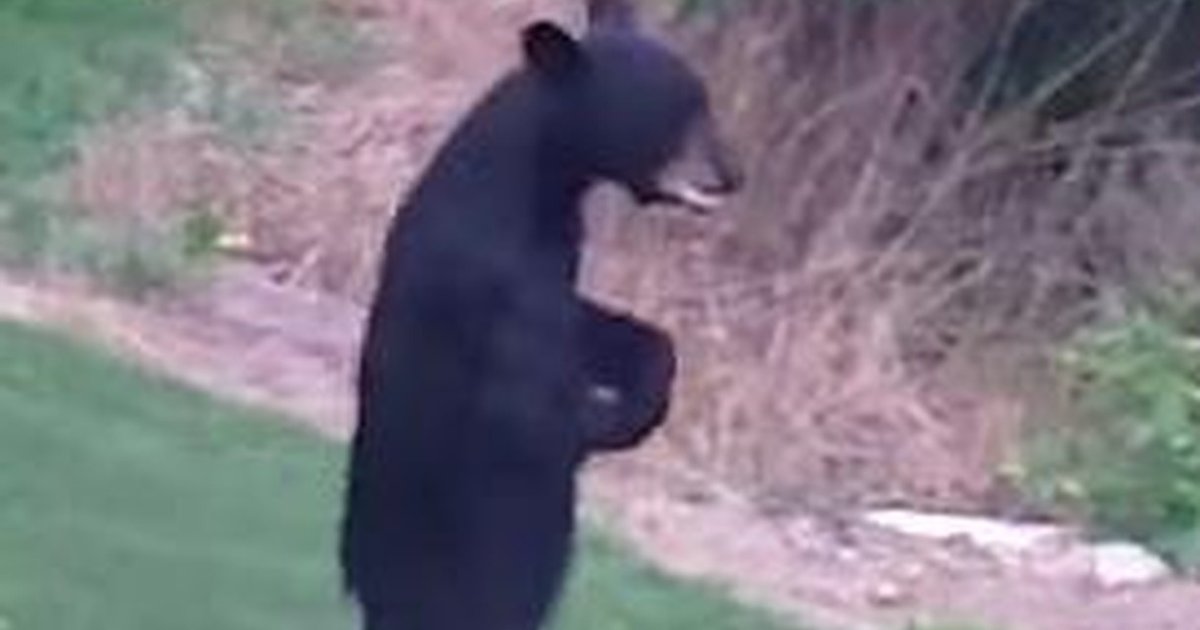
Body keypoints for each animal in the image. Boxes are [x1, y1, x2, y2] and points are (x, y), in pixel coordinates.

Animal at [339, 1, 741, 629]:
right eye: (683, 112)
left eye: (703, 102)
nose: (731, 174)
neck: (540, 178)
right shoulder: (498, 271)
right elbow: (522, 411)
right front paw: (609, 420)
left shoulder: (557, 255)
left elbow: (594, 325)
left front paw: (646, 383)